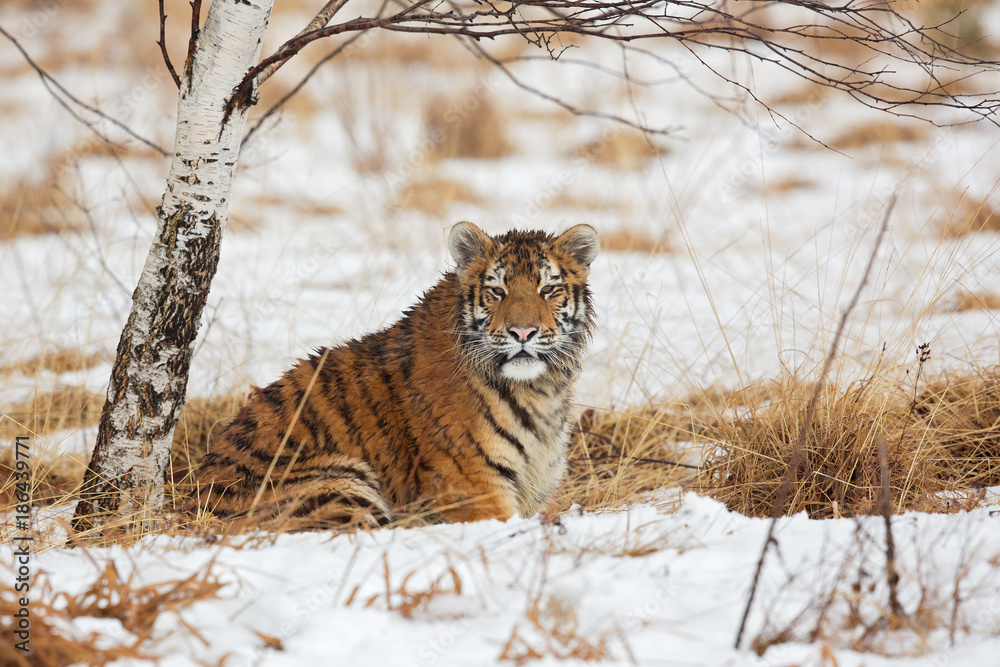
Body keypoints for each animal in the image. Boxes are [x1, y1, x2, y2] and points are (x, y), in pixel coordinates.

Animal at [187, 222, 599, 532]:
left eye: (548, 289)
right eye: (497, 291)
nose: (523, 332)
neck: (540, 389)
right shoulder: (473, 487)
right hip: (337, 481)